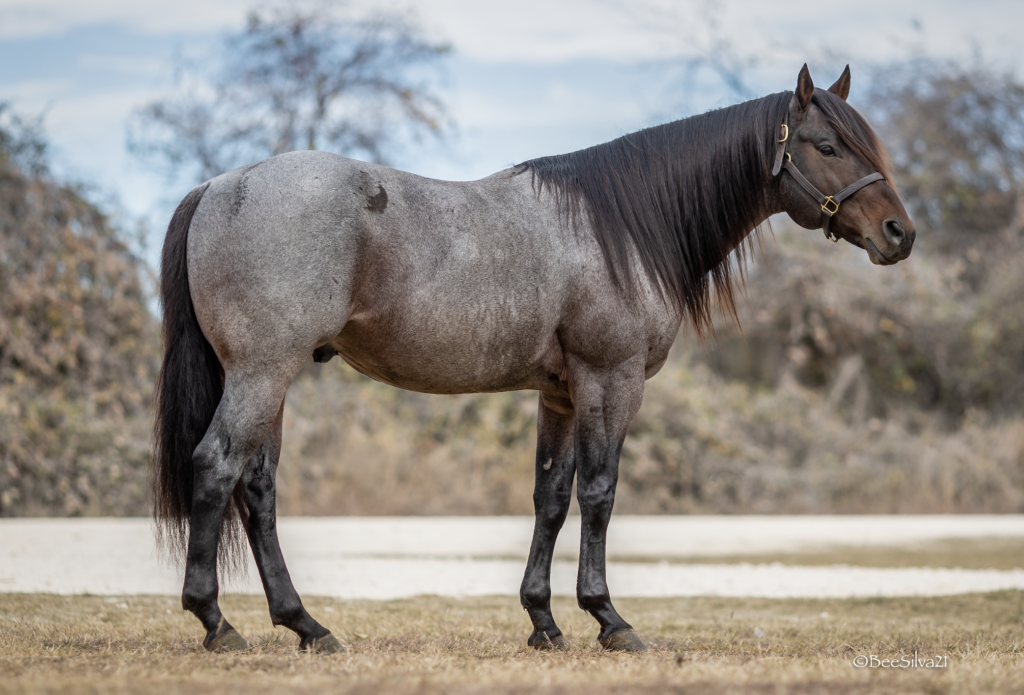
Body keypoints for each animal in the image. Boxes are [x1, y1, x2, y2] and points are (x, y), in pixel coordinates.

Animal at [153, 64, 915, 653]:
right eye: (827, 145)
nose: (899, 233)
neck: (622, 228)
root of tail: (218, 186)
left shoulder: (561, 393)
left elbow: (550, 497)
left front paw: (544, 622)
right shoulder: (611, 382)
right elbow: (600, 493)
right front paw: (609, 619)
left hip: (271, 380)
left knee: (258, 489)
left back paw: (306, 626)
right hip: (262, 372)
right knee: (217, 467)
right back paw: (218, 623)